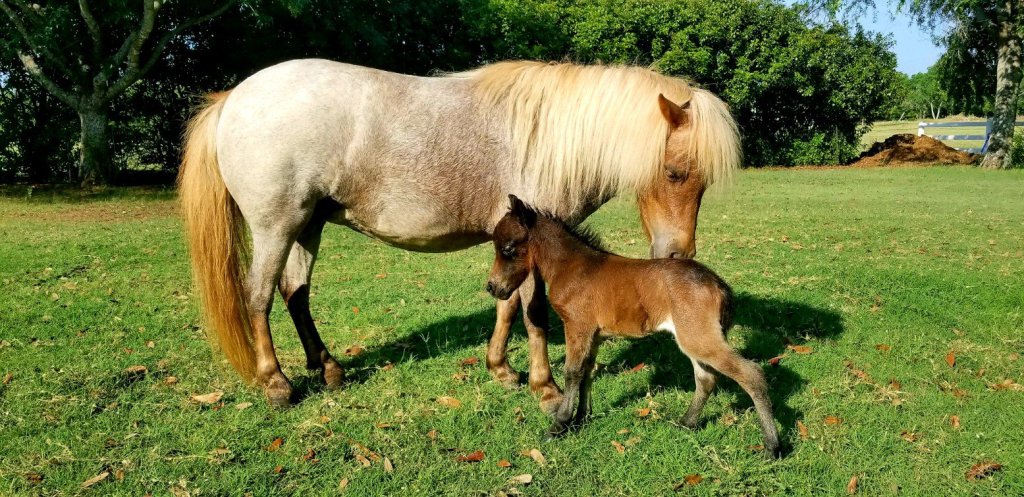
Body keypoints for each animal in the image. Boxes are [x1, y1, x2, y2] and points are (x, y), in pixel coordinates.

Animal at [178, 59, 741, 408]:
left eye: (704, 182)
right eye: (675, 174)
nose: (677, 254)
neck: (553, 138)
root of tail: (234, 97)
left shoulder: (516, 246)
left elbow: (507, 306)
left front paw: (501, 370)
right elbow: (534, 315)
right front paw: (545, 387)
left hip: (307, 225)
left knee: (295, 292)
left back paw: (329, 369)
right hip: (276, 226)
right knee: (259, 296)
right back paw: (277, 382)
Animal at [487, 196, 779, 457]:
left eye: (508, 249)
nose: (492, 287)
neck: (572, 266)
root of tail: (717, 284)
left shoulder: (577, 326)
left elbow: (572, 372)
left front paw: (559, 425)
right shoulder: (595, 335)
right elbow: (587, 371)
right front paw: (582, 418)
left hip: (698, 337)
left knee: (751, 374)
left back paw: (772, 447)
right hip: (694, 337)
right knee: (706, 378)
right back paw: (686, 423)